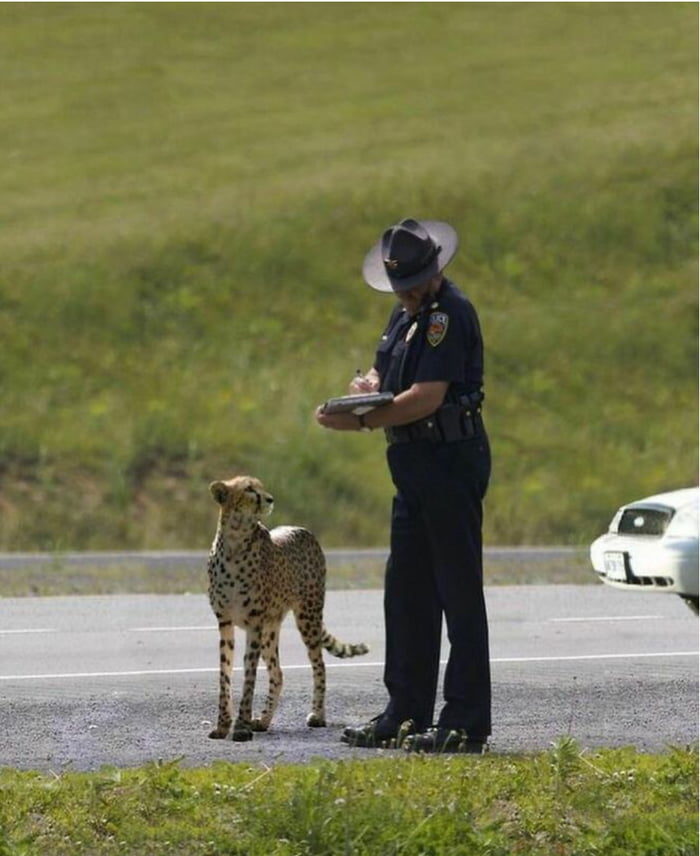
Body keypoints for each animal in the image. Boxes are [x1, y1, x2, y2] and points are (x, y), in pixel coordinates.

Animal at [206, 475, 369, 742]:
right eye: (249, 489)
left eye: (261, 487)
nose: (270, 499)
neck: (235, 541)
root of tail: (302, 529)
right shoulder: (225, 622)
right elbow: (225, 675)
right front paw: (223, 725)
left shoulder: (254, 624)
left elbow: (249, 677)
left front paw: (240, 726)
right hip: (270, 630)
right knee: (278, 673)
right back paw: (263, 721)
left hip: (307, 616)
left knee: (319, 665)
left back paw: (317, 715)